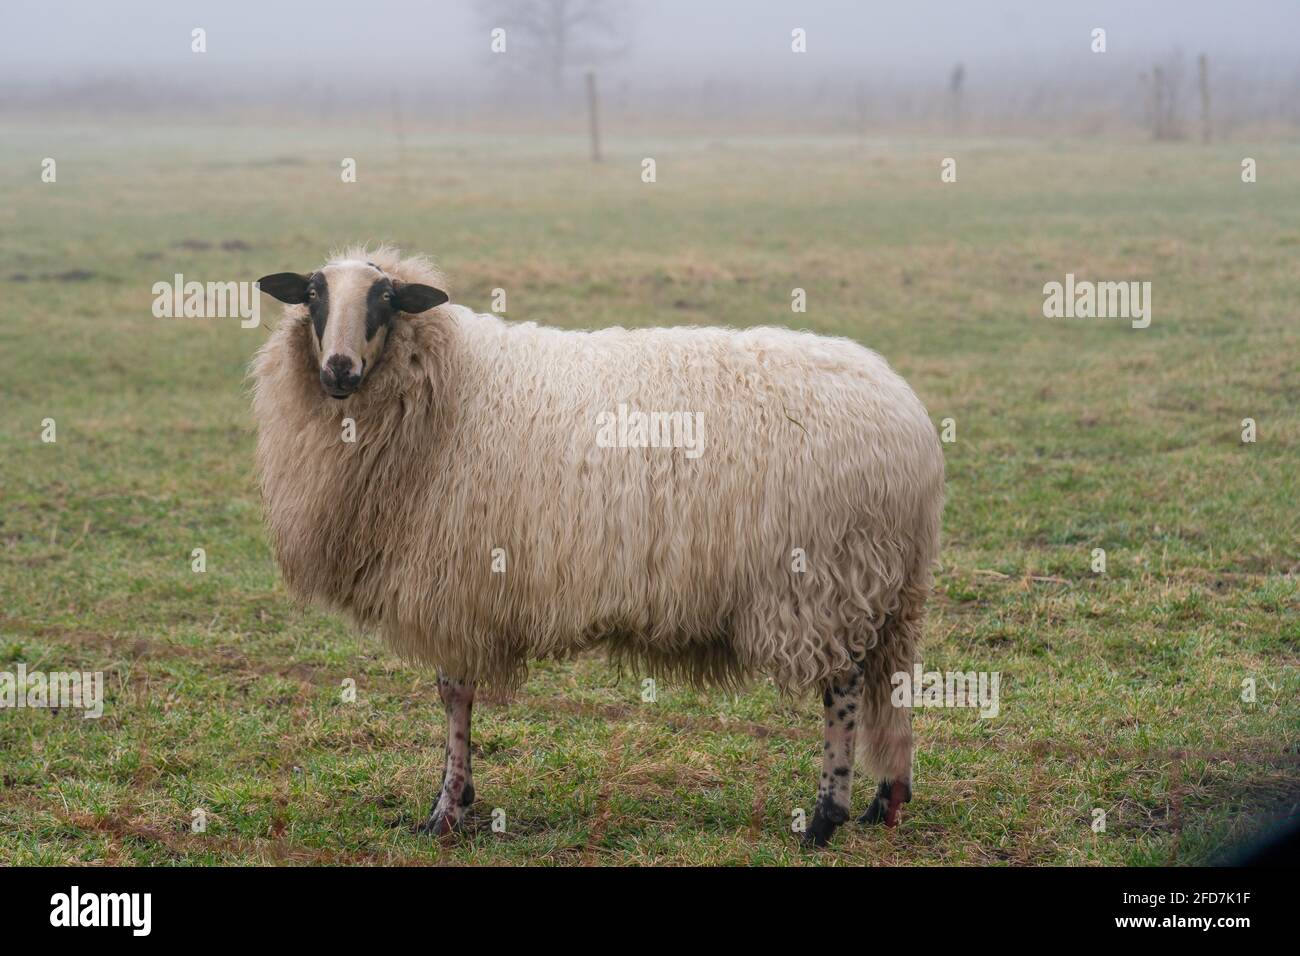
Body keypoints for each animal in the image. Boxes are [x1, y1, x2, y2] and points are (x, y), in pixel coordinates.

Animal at [252, 245, 944, 846]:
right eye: (313, 295)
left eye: (387, 299)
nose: (339, 370)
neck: (447, 385)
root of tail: (908, 416)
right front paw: (457, 801)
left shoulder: (456, 582)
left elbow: (454, 693)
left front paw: (447, 811)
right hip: (887, 583)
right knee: (892, 679)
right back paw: (888, 798)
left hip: (824, 579)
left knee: (844, 689)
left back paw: (827, 817)